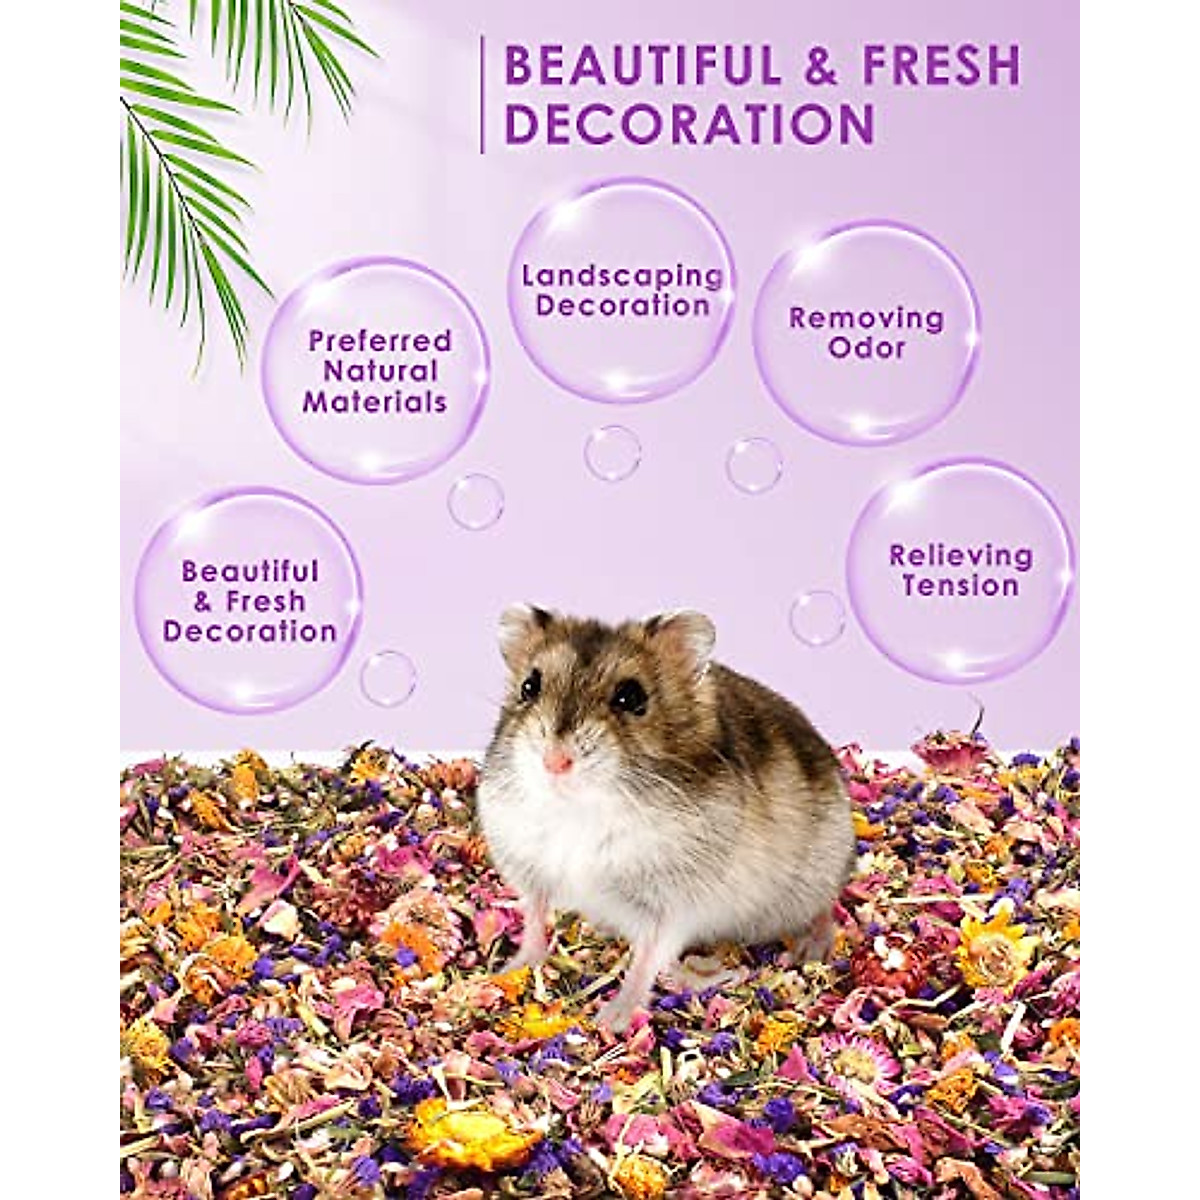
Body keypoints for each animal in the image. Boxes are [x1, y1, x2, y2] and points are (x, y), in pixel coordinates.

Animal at [476, 605, 855, 1032]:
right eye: (529, 686)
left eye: (631, 697)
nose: (554, 762)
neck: (580, 808)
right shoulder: (532, 870)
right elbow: (535, 920)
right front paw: (507, 971)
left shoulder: (672, 905)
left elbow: (646, 958)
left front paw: (612, 1019)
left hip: (820, 870)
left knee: (824, 908)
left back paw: (807, 950)